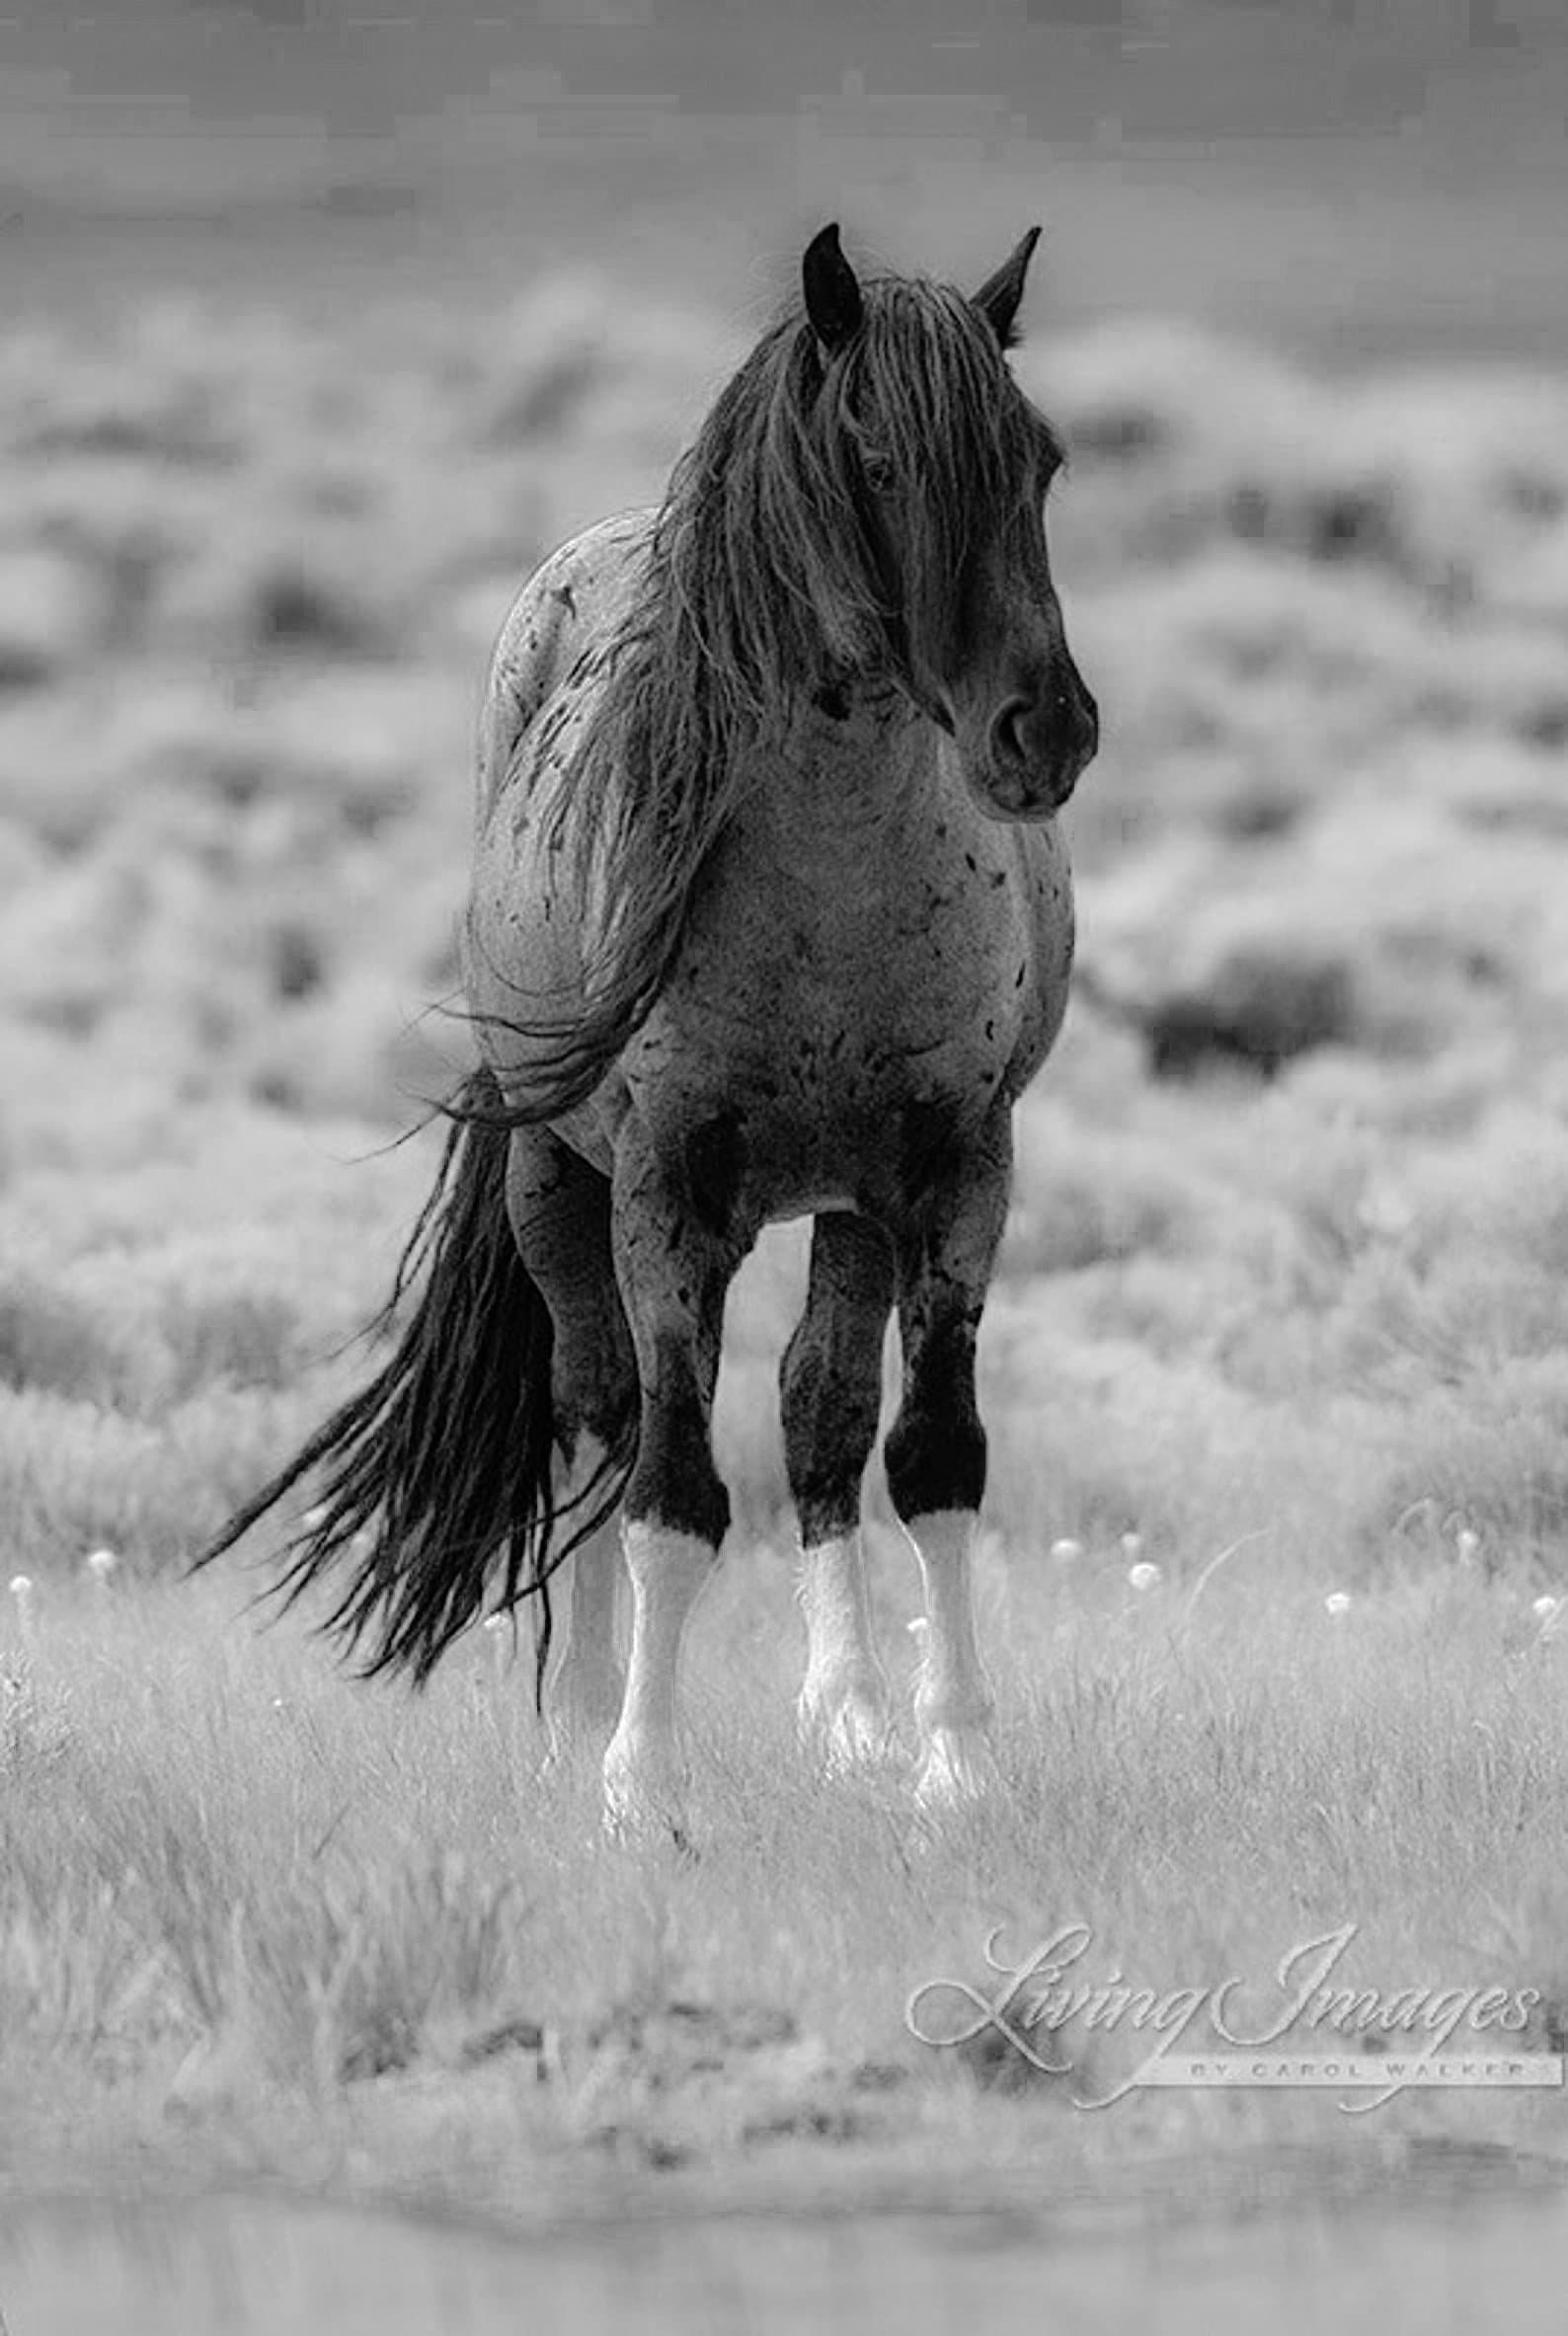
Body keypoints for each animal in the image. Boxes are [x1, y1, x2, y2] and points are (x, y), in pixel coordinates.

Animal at [198, 223, 1098, 1835]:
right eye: (878, 459)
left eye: (1039, 457)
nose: (1039, 732)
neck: (833, 878)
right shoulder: (669, 1192)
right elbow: (670, 1489)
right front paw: (641, 1786)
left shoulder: (955, 1172)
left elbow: (930, 1456)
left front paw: (952, 1764)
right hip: (559, 1179)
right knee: (602, 1413)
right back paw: (577, 1715)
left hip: (848, 1202)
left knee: (818, 1410)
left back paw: (849, 1713)